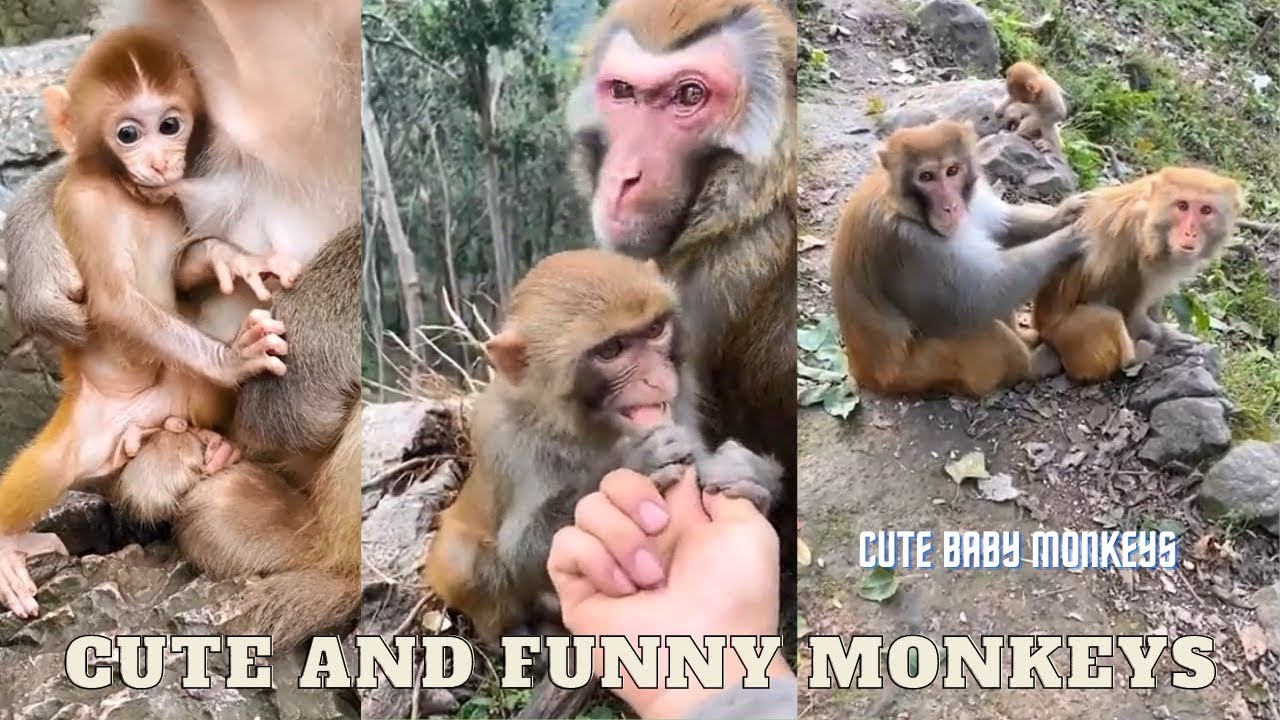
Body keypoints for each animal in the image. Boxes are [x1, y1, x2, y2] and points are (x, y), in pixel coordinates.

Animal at [422, 249, 783, 644]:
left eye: (654, 330)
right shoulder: (506, 438)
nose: (656, 379)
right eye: (611, 350)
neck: (591, 430)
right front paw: (634, 463)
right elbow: (519, 549)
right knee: (464, 561)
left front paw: (750, 476)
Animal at [831, 119, 1092, 398]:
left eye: (952, 171)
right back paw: (1034, 365)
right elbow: (971, 302)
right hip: (918, 372)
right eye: (926, 177)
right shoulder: (906, 245)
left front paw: (1065, 214)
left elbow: (1002, 231)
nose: (950, 207)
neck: (907, 210)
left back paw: (1026, 338)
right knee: (979, 323)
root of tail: (863, 374)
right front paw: (1070, 237)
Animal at [1032, 167, 1242, 383]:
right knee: (1109, 317)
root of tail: (1042, 328)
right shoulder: (1135, 243)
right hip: (1067, 336)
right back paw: (1134, 358)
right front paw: (1168, 337)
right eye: (1182, 206)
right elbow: (1129, 312)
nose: (1190, 233)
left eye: (1206, 210)